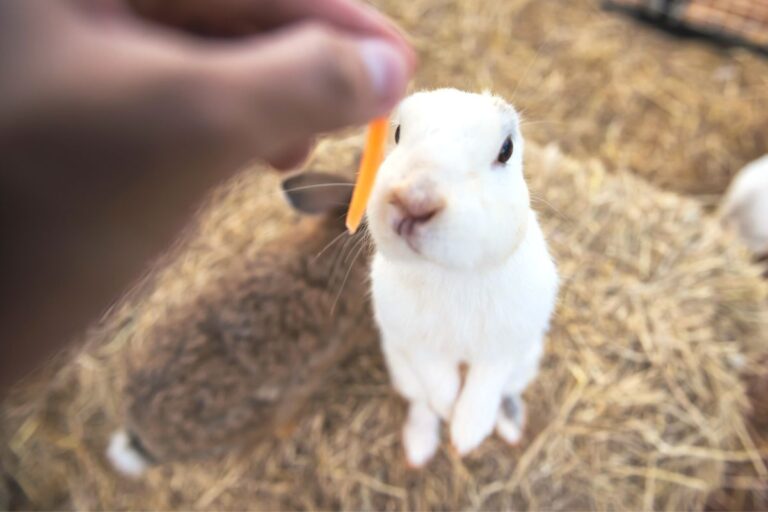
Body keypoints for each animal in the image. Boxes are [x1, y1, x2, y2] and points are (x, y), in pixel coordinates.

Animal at [365, 89, 559, 467]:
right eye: (398, 133)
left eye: (506, 149)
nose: (414, 200)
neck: (451, 272)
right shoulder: (416, 344)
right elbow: (440, 386)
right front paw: (448, 414)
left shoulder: (505, 346)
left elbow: (483, 388)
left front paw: (466, 435)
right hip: (401, 368)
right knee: (420, 401)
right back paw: (418, 449)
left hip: (526, 362)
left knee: (506, 392)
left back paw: (510, 428)